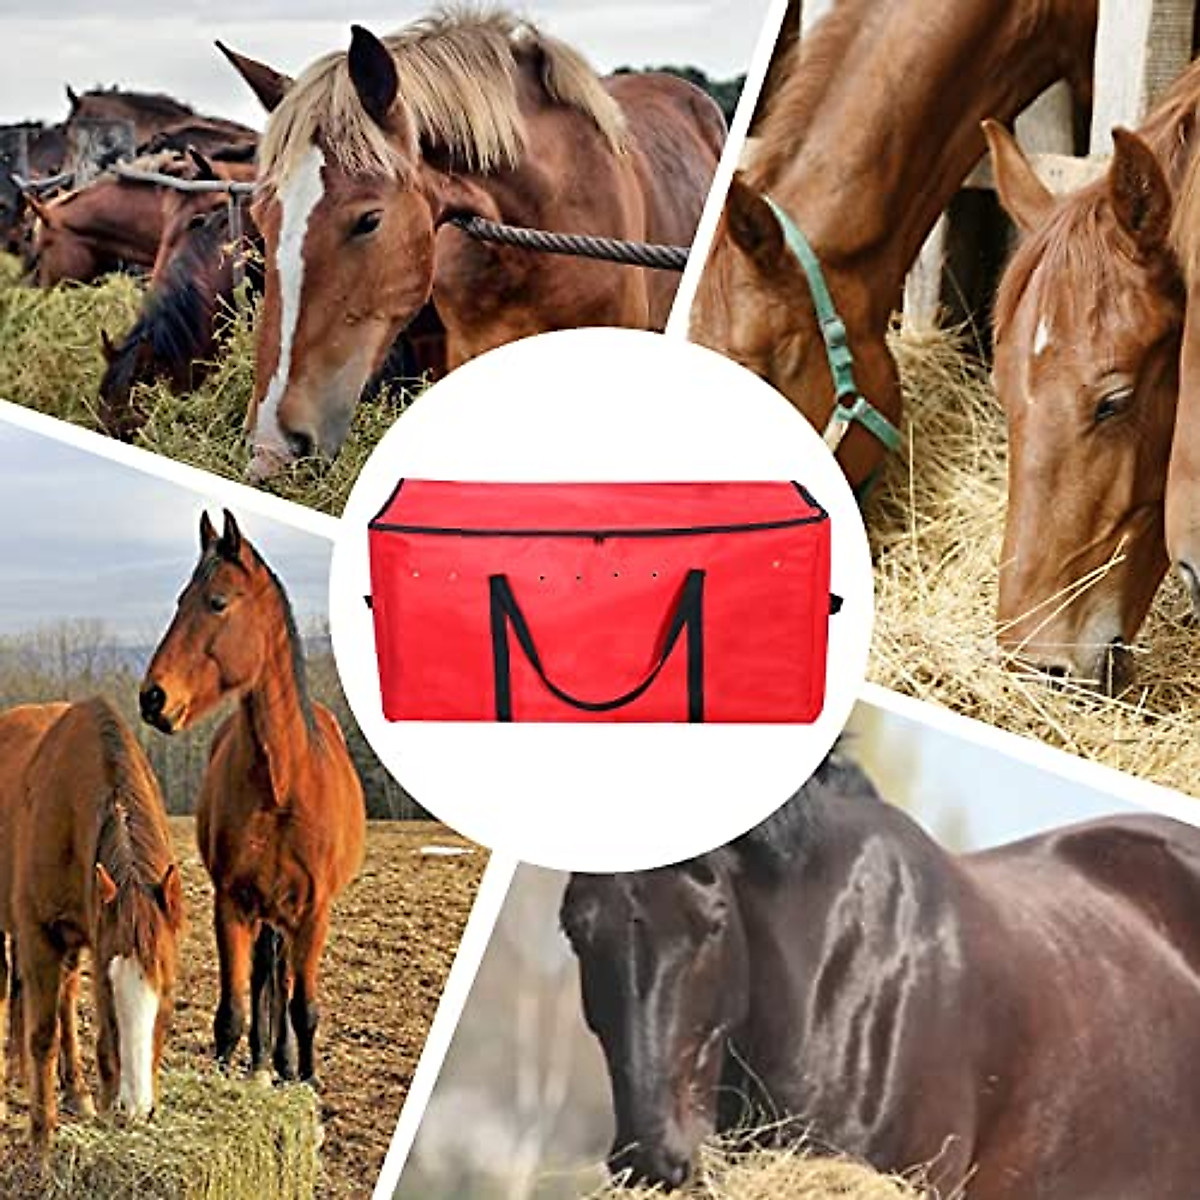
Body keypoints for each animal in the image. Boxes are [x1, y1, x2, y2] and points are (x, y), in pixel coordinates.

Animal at [2, 697, 183, 1148]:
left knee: (65, 998)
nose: (138, 1108)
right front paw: (41, 1140)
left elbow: (98, 1042)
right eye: (107, 986)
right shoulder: (39, 937)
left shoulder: (92, 935)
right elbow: (42, 1036)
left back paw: (76, 1092)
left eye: (170, 988)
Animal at [139, 510, 365, 1085]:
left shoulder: (313, 912)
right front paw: (236, 1071)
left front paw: (306, 1081)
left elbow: (304, 1008)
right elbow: (232, 1013)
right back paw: (265, 1060)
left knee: (281, 979)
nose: (153, 698)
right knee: (266, 973)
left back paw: (281, 1062)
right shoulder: (232, 903)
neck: (281, 783)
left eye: (217, 601)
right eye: (180, 601)